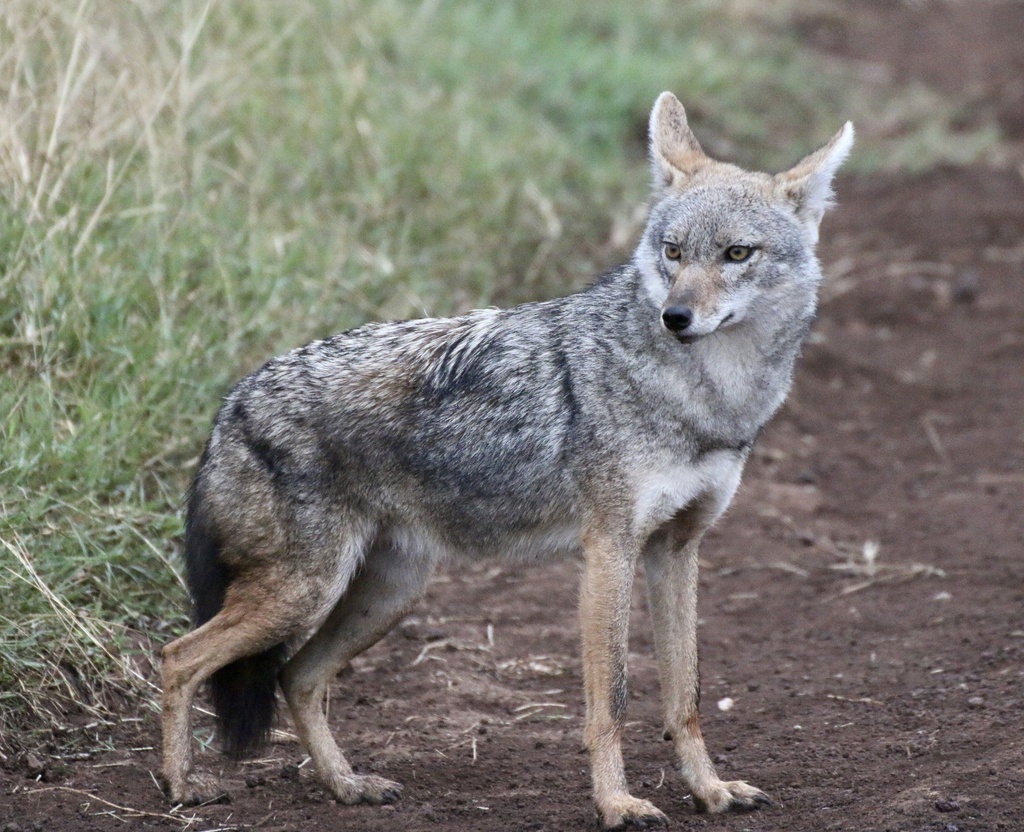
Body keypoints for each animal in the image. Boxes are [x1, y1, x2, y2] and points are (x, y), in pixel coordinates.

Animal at [160, 91, 852, 828]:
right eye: (672, 252)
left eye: (735, 253)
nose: (676, 316)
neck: (709, 399)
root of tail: (230, 402)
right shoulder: (608, 552)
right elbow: (611, 700)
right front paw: (617, 803)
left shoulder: (677, 548)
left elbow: (684, 694)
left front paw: (710, 790)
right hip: (301, 593)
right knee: (179, 657)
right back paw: (181, 786)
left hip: (386, 595)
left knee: (297, 675)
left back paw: (347, 786)